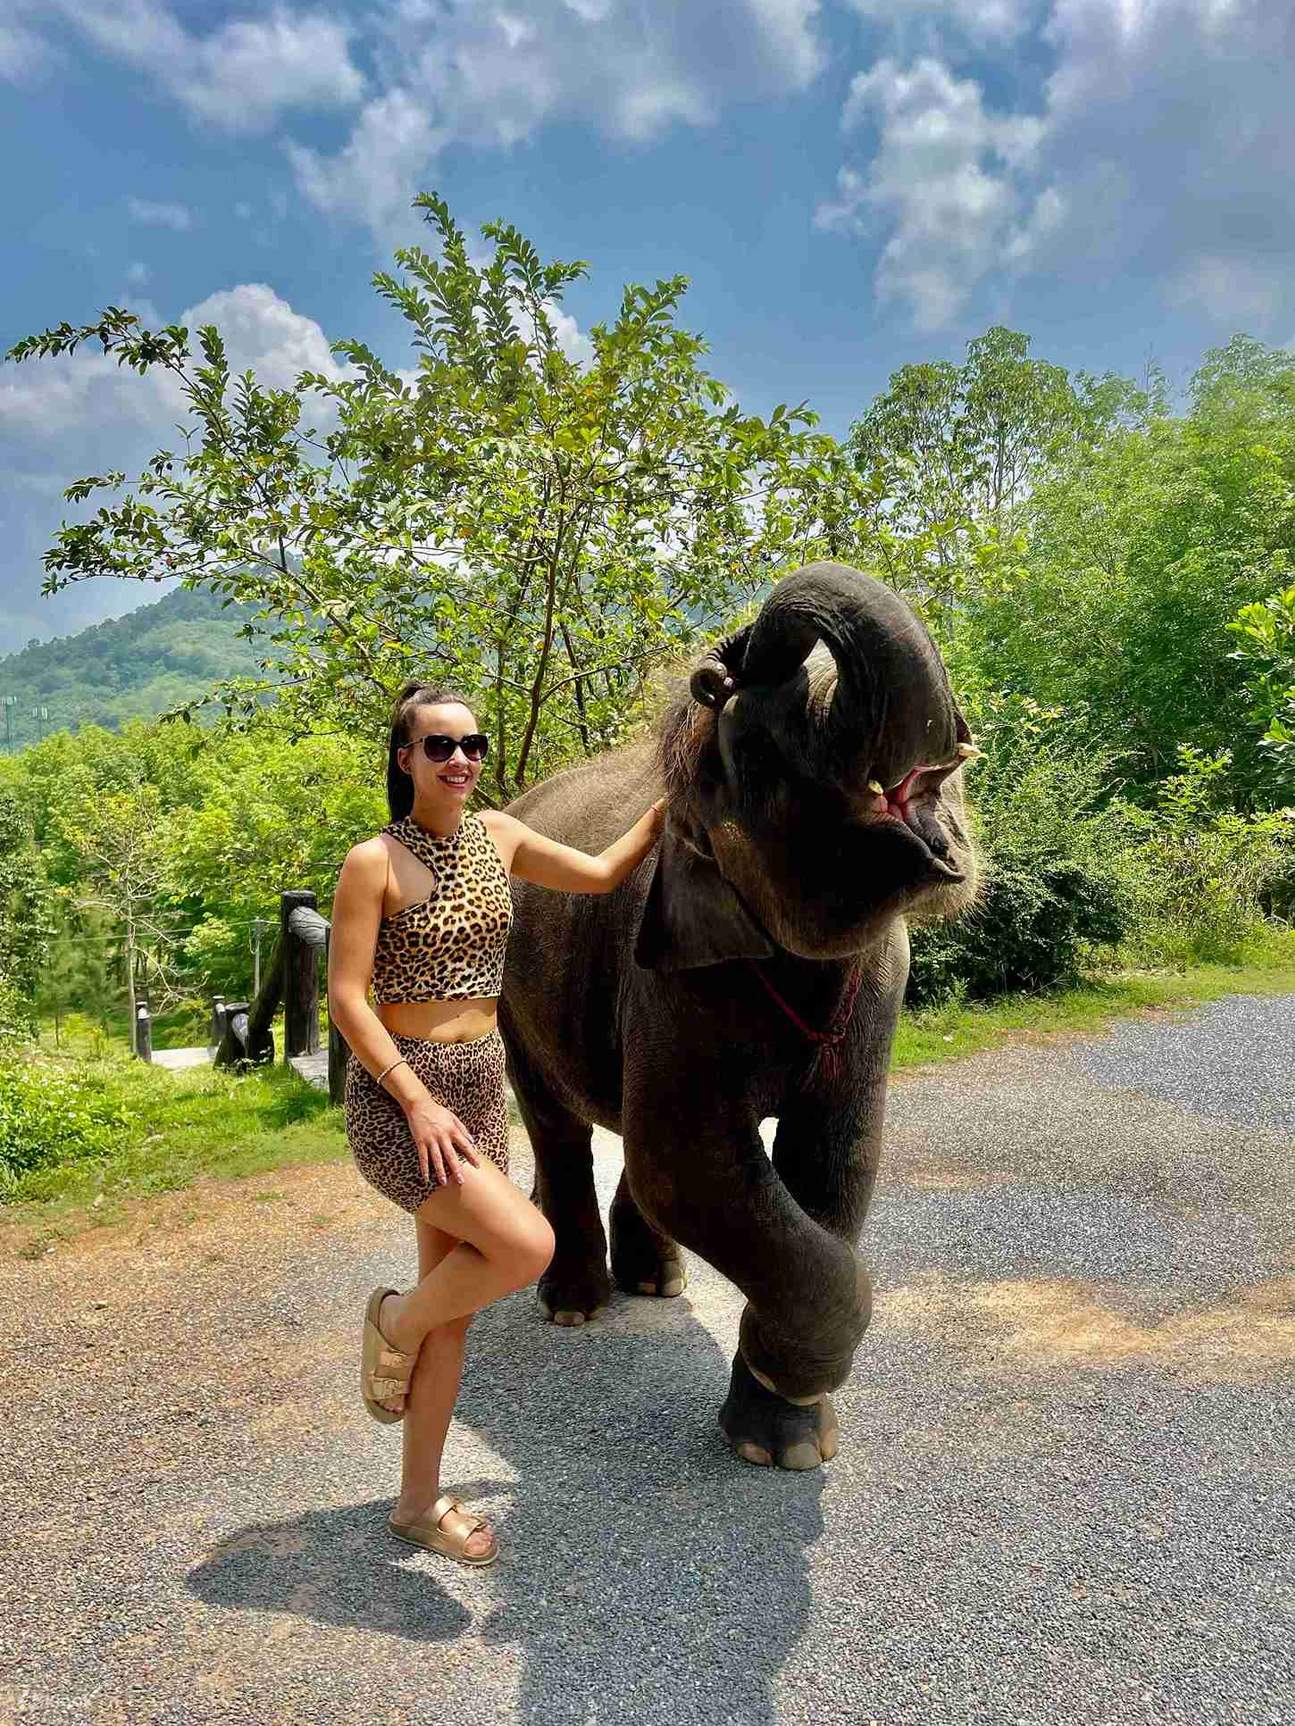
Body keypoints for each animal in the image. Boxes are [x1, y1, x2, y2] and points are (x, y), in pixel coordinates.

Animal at [497, 560, 979, 1470]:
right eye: (755, 755)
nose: (729, 655)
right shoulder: (672, 974)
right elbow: (690, 1164)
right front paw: (781, 1419)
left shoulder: (877, 985)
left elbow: (836, 1156)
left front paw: (783, 1438)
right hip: (511, 1000)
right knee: (557, 1123)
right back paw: (575, 1304)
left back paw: (652, 1283)